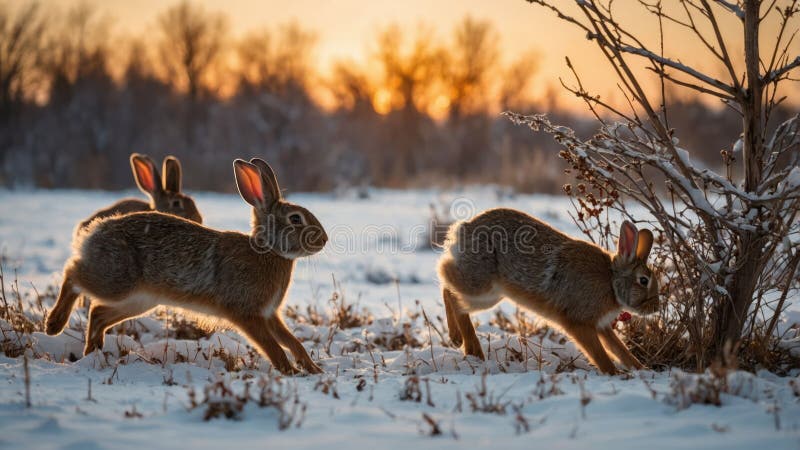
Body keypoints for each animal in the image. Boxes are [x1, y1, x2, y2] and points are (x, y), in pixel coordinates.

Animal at [46, 158, 328, 375]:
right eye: (295, 219)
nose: (324, 240)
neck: (268, 250)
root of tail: (95, 230)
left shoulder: (269, 314)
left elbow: (293, 342)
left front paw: (313, 369)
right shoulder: (246, 313)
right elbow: (272, 346)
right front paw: (290, 372)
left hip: (139, 300)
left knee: (97, 312)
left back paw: (93, 351)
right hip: (117, 281)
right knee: (72, 274)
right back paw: (54, 324)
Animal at [437, 208, 659, 375]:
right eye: (643, 280)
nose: (655, 307)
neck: (611, 282)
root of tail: (464, 228)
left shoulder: (602, 325)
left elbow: (620, 350)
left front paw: (642, 369)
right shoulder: (578, 321)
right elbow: (599, 353)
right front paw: (614, 373)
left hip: (491, 294)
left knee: (451, 291)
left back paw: (463, 343)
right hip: (481, 287)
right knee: (447, 283)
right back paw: (465, 343)